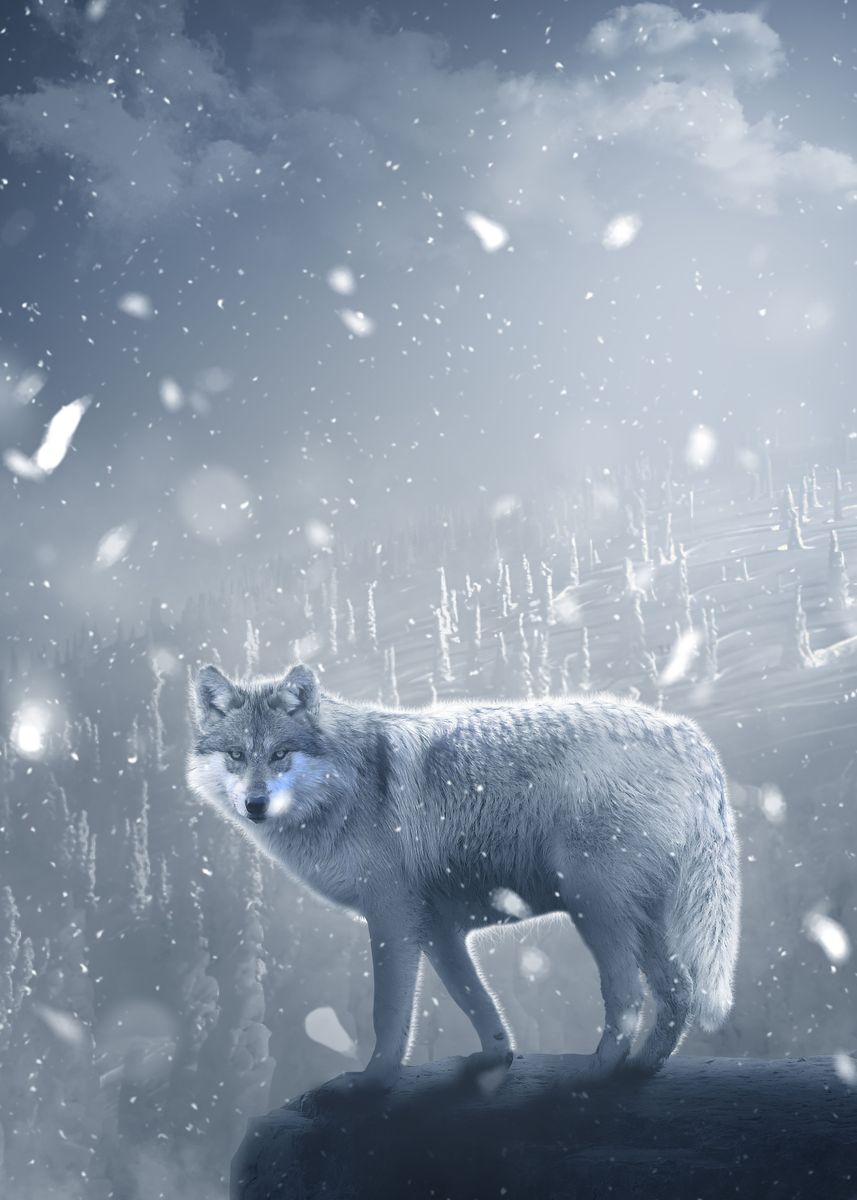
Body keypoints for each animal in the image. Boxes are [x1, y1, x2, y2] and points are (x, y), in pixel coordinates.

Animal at [187, 663, 740, 1085]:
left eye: (280, 754)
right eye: (236, 755)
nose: (255, 804)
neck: (346, 787)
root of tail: (690, 736)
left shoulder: (391, 920)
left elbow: (388, 1013)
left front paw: (370, 1083)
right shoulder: (436, 927)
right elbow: (473, 999)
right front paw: (496, 1059)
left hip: (594, 908)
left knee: (628, 997)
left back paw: (593, 1077)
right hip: (639, 919)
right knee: (677, 992)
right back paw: (638, 1071)